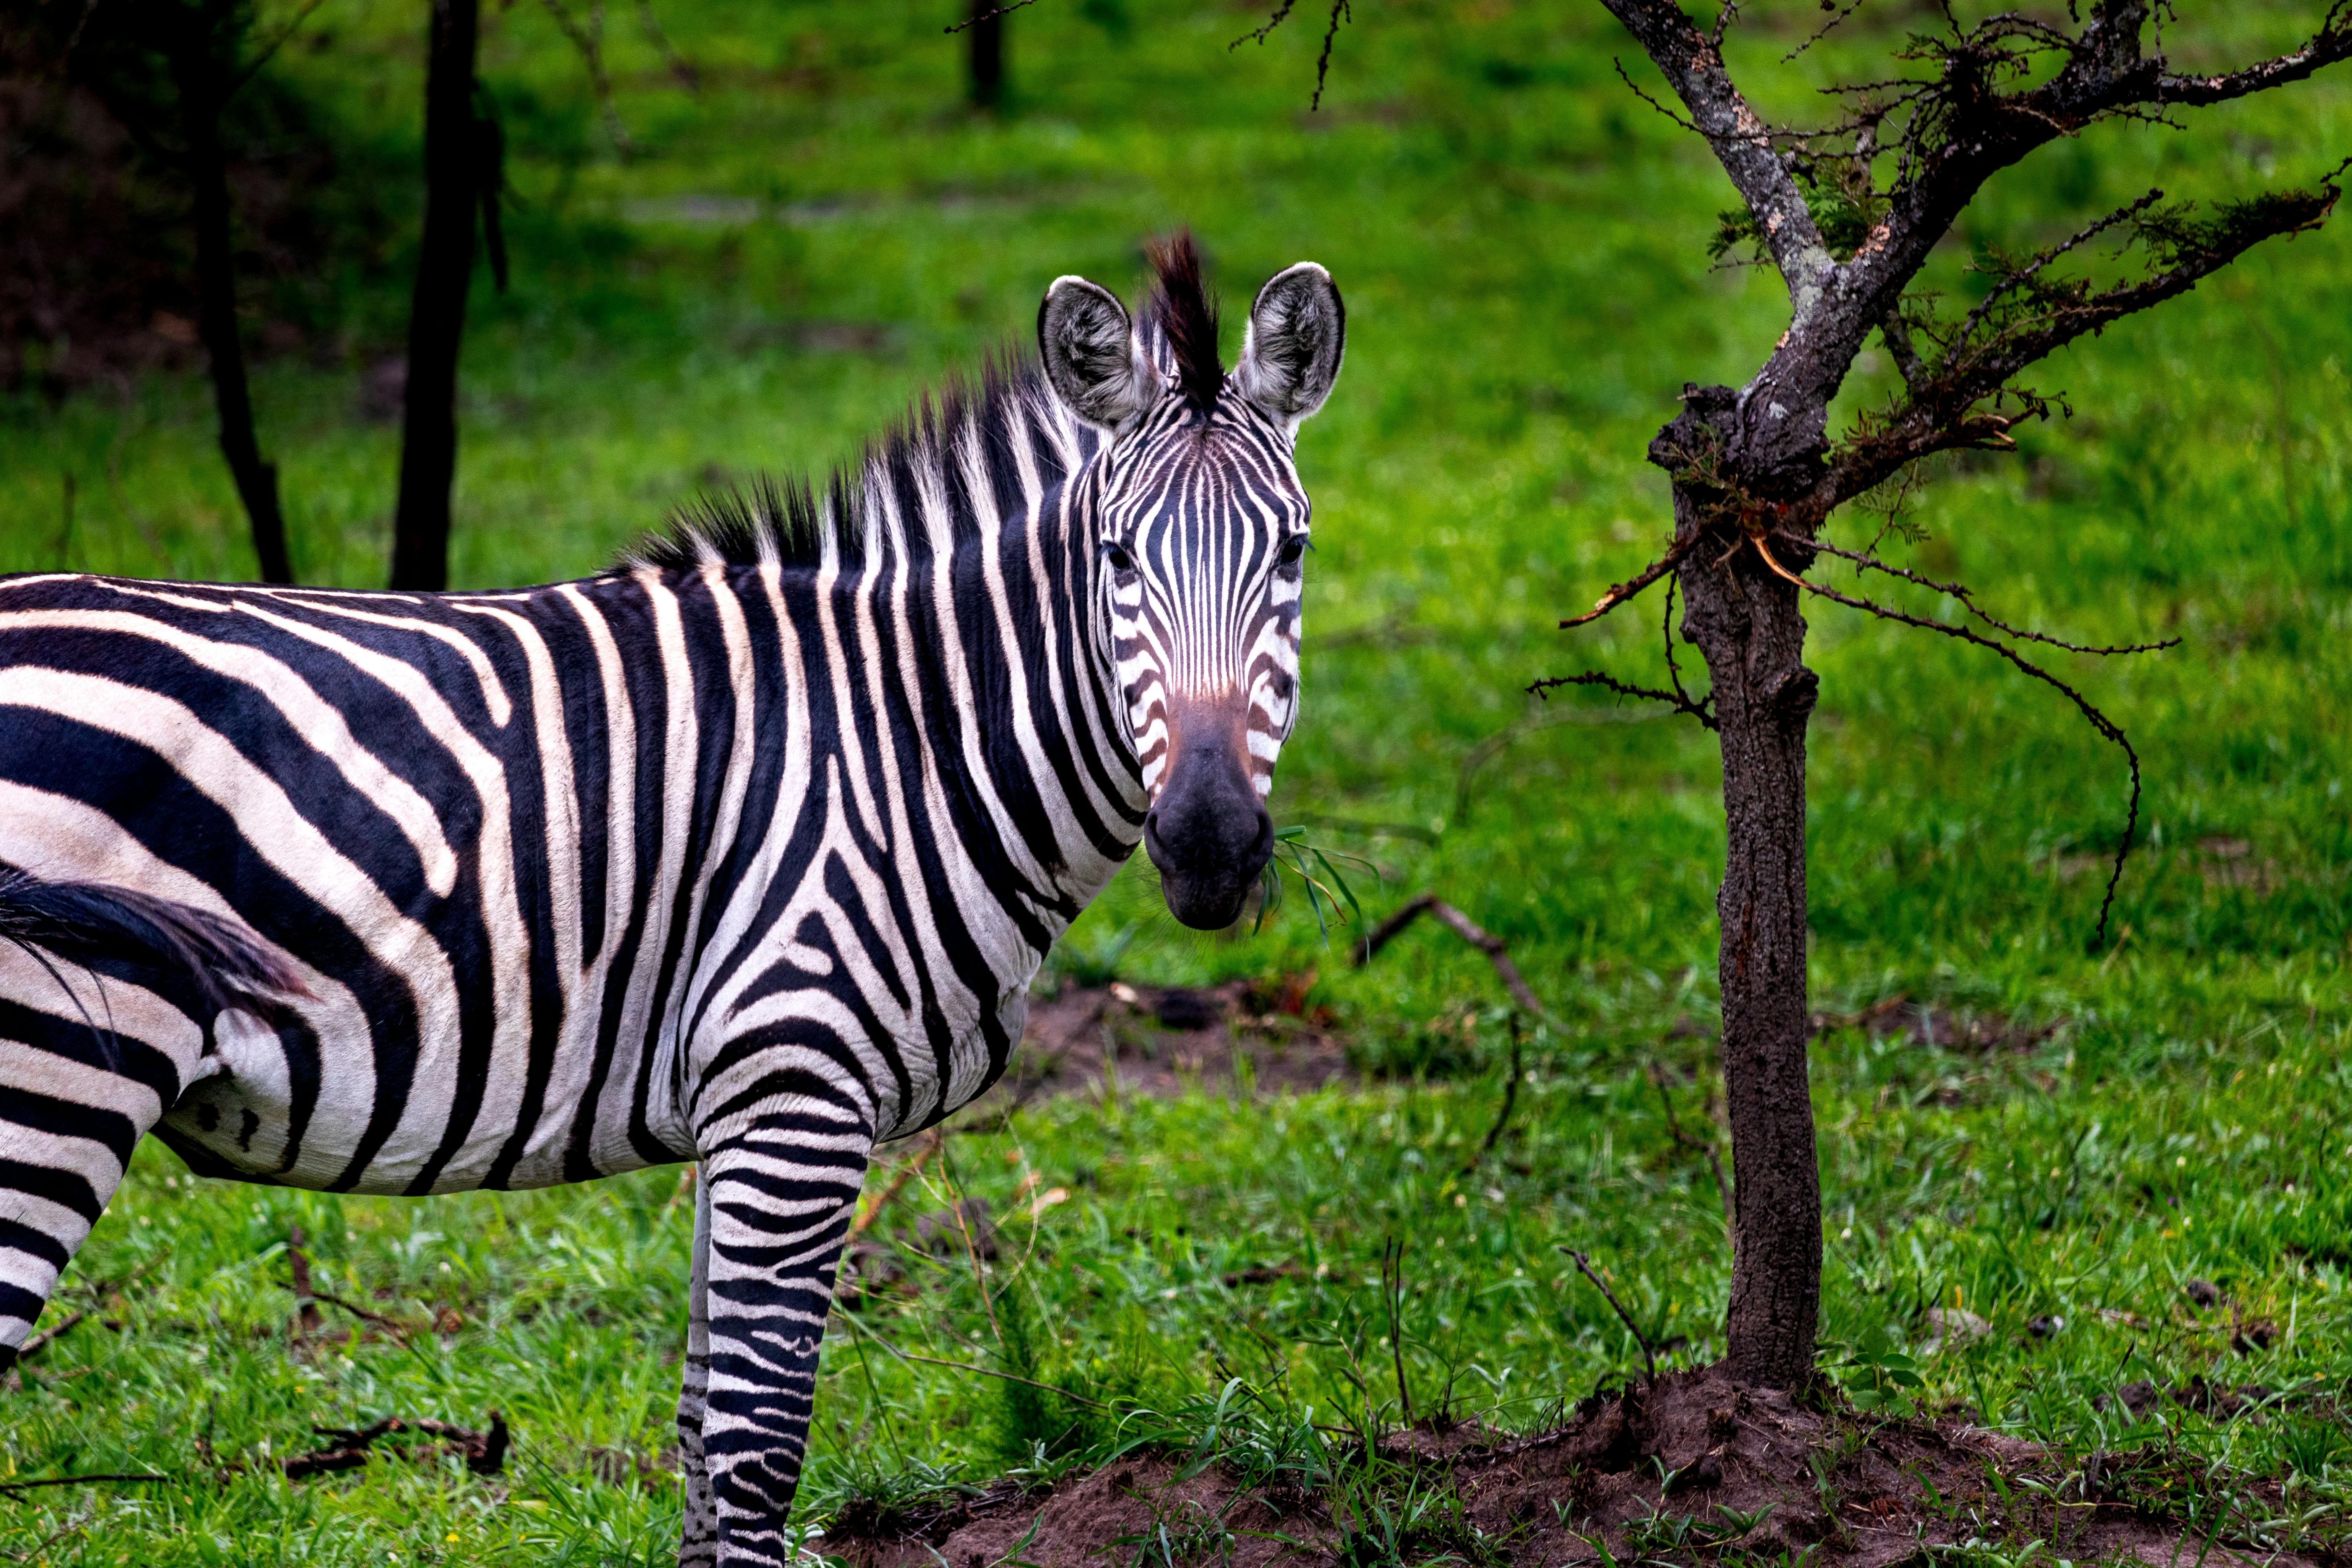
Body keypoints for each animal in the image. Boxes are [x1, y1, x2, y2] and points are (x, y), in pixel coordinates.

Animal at [0, 233, 1343, 1566]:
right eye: (1115, 559)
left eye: (1293, 551)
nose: (1208, 842)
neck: (909, 734)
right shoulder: (797, 1087)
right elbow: (758, 1452)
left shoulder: (740, 1100)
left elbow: (702, 1435)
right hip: (56, 1073)